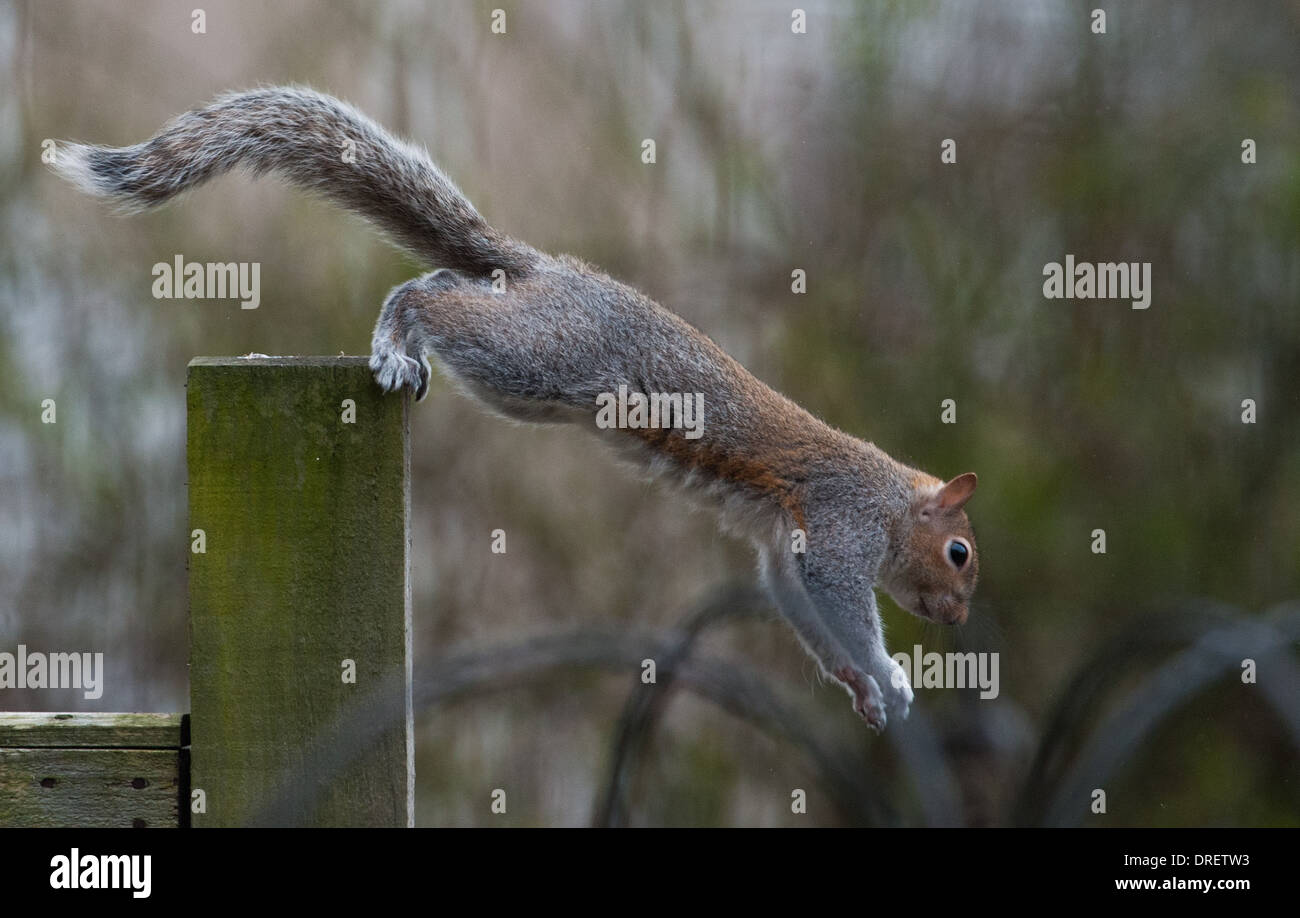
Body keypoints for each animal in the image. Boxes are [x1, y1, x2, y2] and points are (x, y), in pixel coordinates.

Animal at [51, 87, 979, 731]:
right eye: (960, 553)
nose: (959, 618)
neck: (893, 502)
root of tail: (545, 271)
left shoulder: (787, 552)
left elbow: (799, 610)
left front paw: (869, 689)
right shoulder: (840, 526)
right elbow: (837, 603)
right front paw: (885, 672)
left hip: (522, 373)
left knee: (445, 281)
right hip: (541, 357)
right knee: (428, 300)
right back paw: (398, 338)